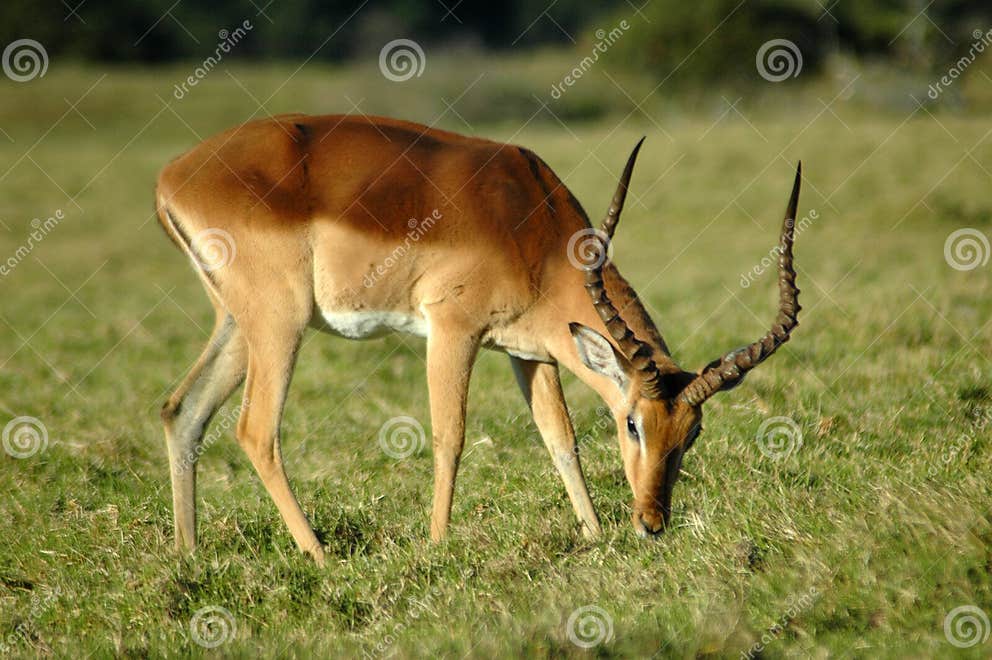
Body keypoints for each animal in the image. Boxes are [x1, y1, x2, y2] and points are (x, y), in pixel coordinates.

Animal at [156, 114, 803, 565]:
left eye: (691, 434)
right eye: (632, 424)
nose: (651, 522)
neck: (536, 231)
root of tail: (173, 176)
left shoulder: (530, 352)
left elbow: (560, 439)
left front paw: (595, 537)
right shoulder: (453, 330)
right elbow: (450, 436)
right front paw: (438, 545)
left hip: (238, 325)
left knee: (182, 410)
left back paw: (189, 557)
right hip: (279, 323)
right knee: (255, 429)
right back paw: (320, 556)